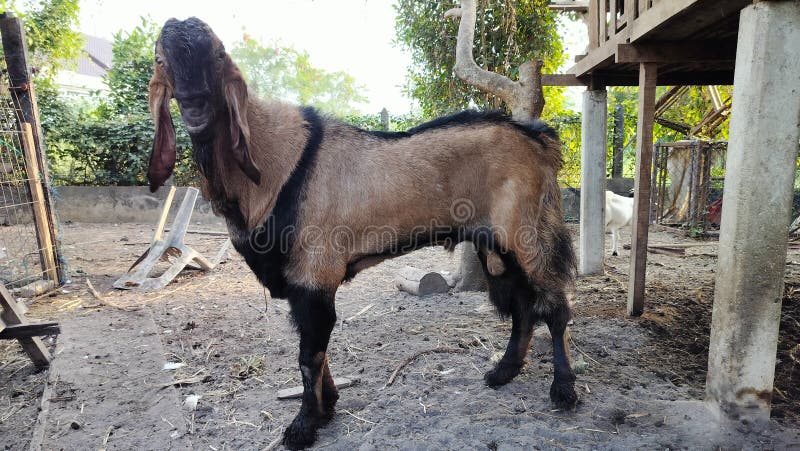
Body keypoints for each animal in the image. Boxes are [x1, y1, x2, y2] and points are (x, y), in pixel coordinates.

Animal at [148, 17, 577, 449]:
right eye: (161, 59)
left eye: (219, 55)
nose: (195, 107)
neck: (276, 166)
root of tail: (539, 139)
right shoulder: (300, 282)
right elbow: (314, 349)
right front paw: (328, 405)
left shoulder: (315, 271)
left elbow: (309, 355)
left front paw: (304, 424)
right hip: (497, 245)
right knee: (523, 306)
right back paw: (504, 372)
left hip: (527, 233)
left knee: (555, 307)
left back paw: (564, 390)